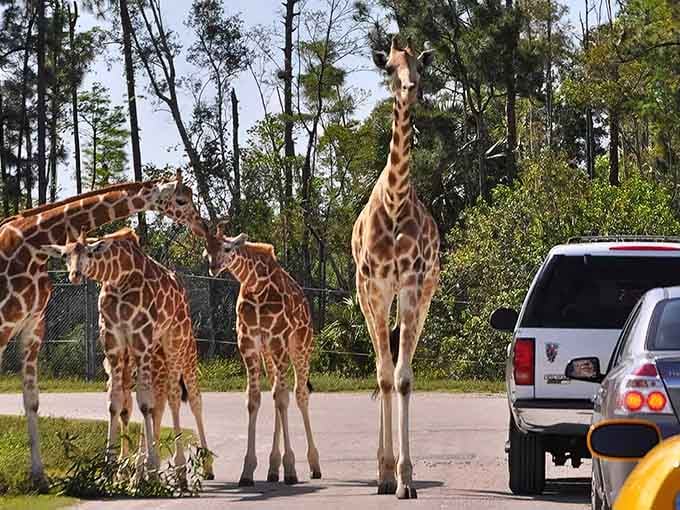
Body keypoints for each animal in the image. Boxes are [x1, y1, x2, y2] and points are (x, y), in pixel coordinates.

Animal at [42, 228, 214, 479]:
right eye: (64, 255)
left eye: (90, 253)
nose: (75, 274)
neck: (119, 276)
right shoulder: (114, 343)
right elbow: (117, 403)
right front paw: (111, 467)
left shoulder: (140, 338)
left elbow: (143, 404)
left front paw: (150, 465)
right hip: (156, 356)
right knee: (162, 401)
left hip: (179, 344)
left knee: (188, 398)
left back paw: (193, 466)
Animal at [203, 226, 321, 486]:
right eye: (207, 251)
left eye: (227, 248)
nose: (214, 266)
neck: (256, 285)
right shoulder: (249, 345)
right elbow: (255, 399)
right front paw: (248, 471)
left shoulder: (279, 341)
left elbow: (284, 399)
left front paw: (291, 469)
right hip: (269, 354)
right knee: (278, 392)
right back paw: (273, 469)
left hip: (301, 347)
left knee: (299, 394)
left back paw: (313, 465)